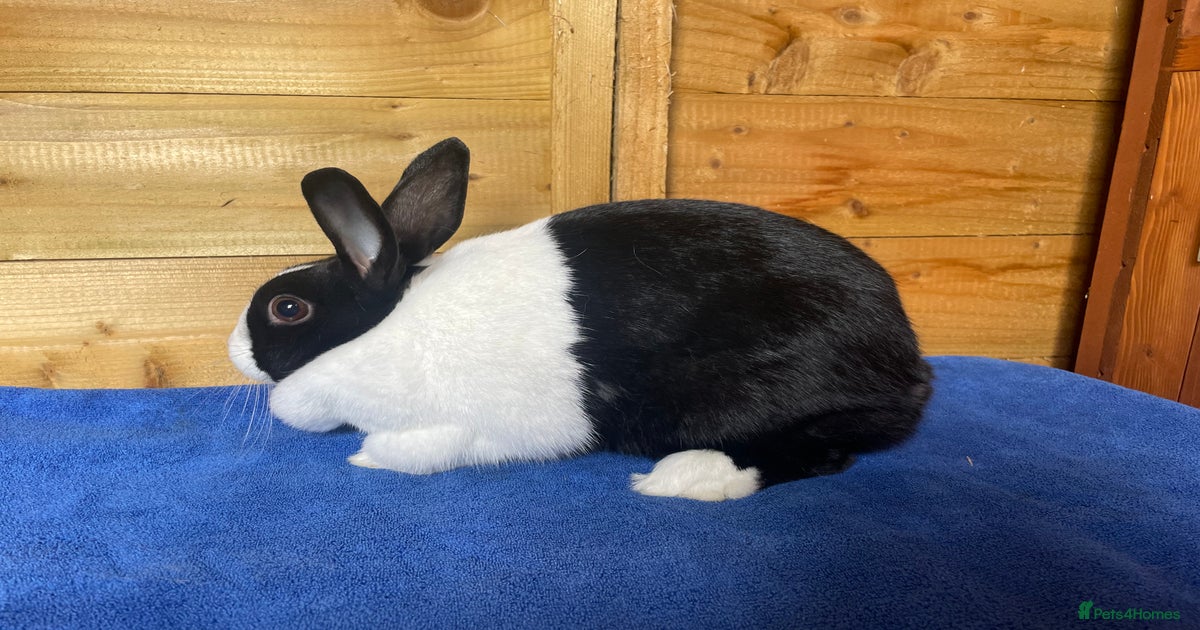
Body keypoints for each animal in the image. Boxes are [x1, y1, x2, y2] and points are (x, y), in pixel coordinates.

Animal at [228, 137, 932, 501]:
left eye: (286, 308)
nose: (232, 349)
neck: (386, 326)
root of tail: (906, 362)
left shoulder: (461, 424)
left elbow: (414, 450)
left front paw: (369, 460)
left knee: (817, 454)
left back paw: (683, 479)